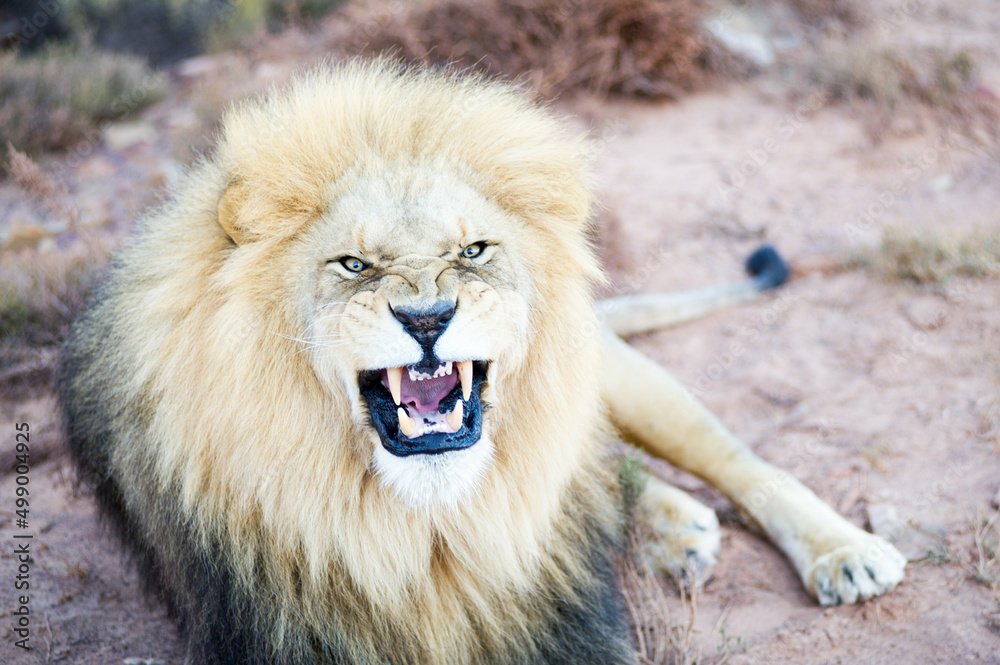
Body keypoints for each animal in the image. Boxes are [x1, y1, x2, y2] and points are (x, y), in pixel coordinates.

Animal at [59, 59, 905, 664]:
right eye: (354, 264)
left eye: (472, 250)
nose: (427, 317)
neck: (430, 524)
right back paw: (678, 527)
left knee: (735, 462)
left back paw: (842, 551)